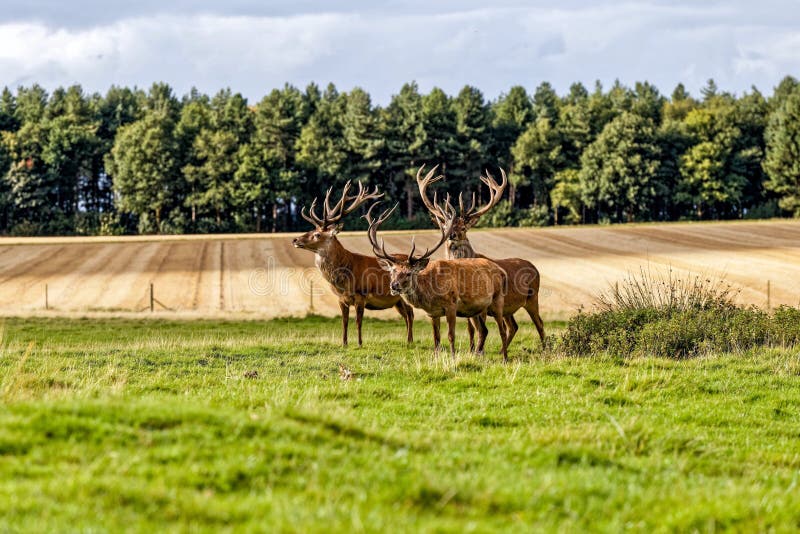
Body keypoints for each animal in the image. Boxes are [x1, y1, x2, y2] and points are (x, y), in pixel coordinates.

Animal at [292, 181, 414, 346]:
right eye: (311, 229)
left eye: (317, 234)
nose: (295, 239)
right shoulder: (341, 299)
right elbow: (344, 322)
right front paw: (344, 343)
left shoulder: (360, 295)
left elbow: (358, 321)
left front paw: (360, 343)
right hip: (397, 300)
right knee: (406, 314)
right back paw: (408, 340)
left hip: (404, 295)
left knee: (410, 313)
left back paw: (410, 340)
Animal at [366, 202, 510, 361]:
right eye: (392, 272)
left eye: (409, 273)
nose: (394, 286)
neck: (431, 293)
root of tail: (501, 271)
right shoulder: (432, 313)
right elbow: (436, 338)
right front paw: (436, 357)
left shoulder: (451, 305)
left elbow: (451, 335)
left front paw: (453, 358)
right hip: (476, 309)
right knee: (483, 331)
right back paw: (477, 356)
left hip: (498, 300)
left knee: (502, 330)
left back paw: (504, 358)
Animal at [417, 165, 546, 349]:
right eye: (446, 227)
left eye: (463, 227)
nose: (452, 235)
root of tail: (535, 268)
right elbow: (470, 329)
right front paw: (471, 350)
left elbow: (479, 330)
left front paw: (478, 350)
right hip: (508, 308)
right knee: (513, 326)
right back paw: (501, 350)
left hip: (532, 297)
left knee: (539, 324)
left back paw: (544, 349)